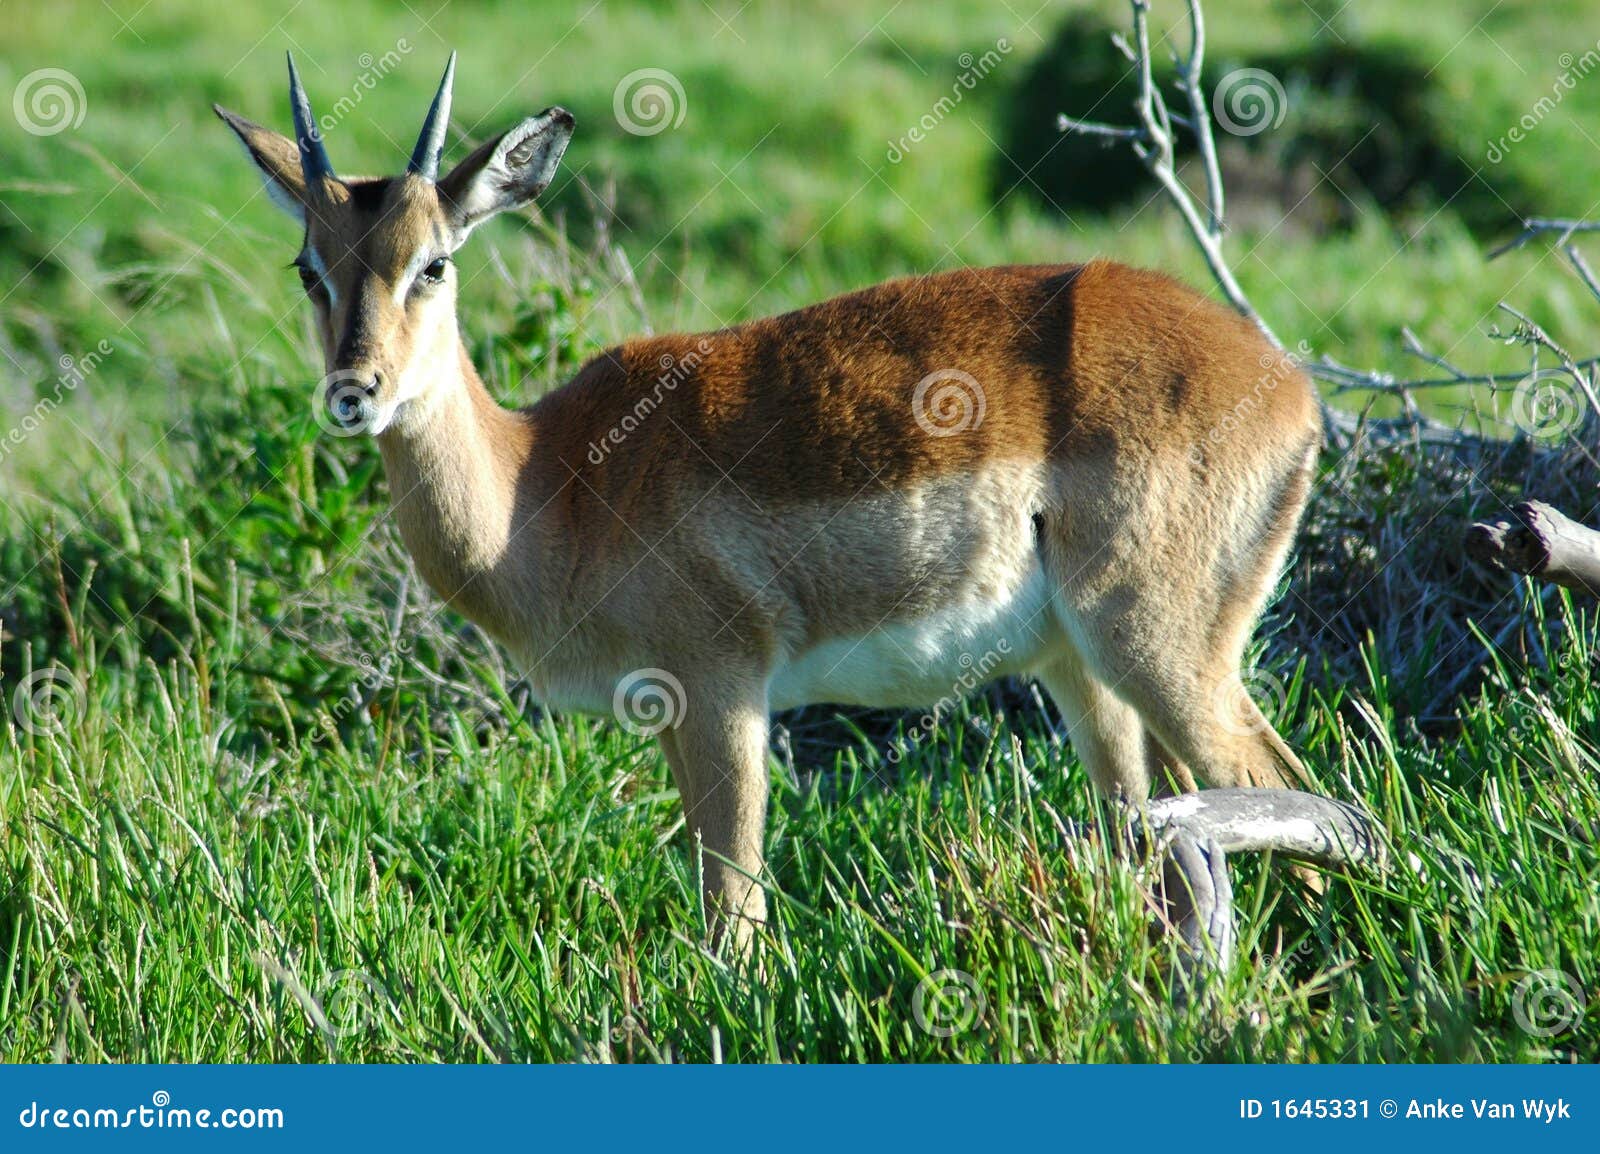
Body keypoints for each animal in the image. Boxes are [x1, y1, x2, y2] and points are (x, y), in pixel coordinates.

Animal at [216, 54, 1321, 948]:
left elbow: (733, 911)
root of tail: (1288, 385)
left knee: (1284, 792)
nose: (355, 389)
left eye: (433, 261)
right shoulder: (673, 712)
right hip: (1080, 672)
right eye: (310, 266)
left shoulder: (722, 695)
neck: (548, 480)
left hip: (1156, 646)